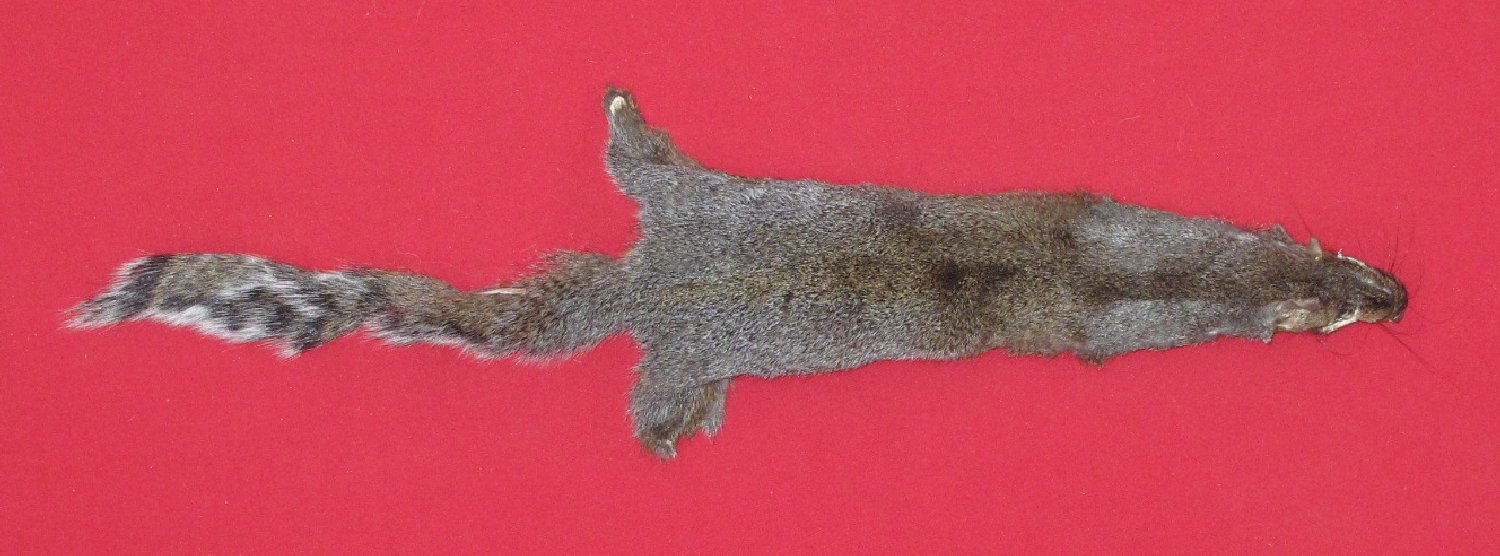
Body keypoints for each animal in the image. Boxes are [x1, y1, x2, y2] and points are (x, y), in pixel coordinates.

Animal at [68, 88, 1408, 458]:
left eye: (1364, 267)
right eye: (1353, 314)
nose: (1403, 297)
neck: (1208, 271)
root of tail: (640, 286)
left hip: (695, 204)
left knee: (646, 173)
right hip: (695, 286)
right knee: (661, 361)